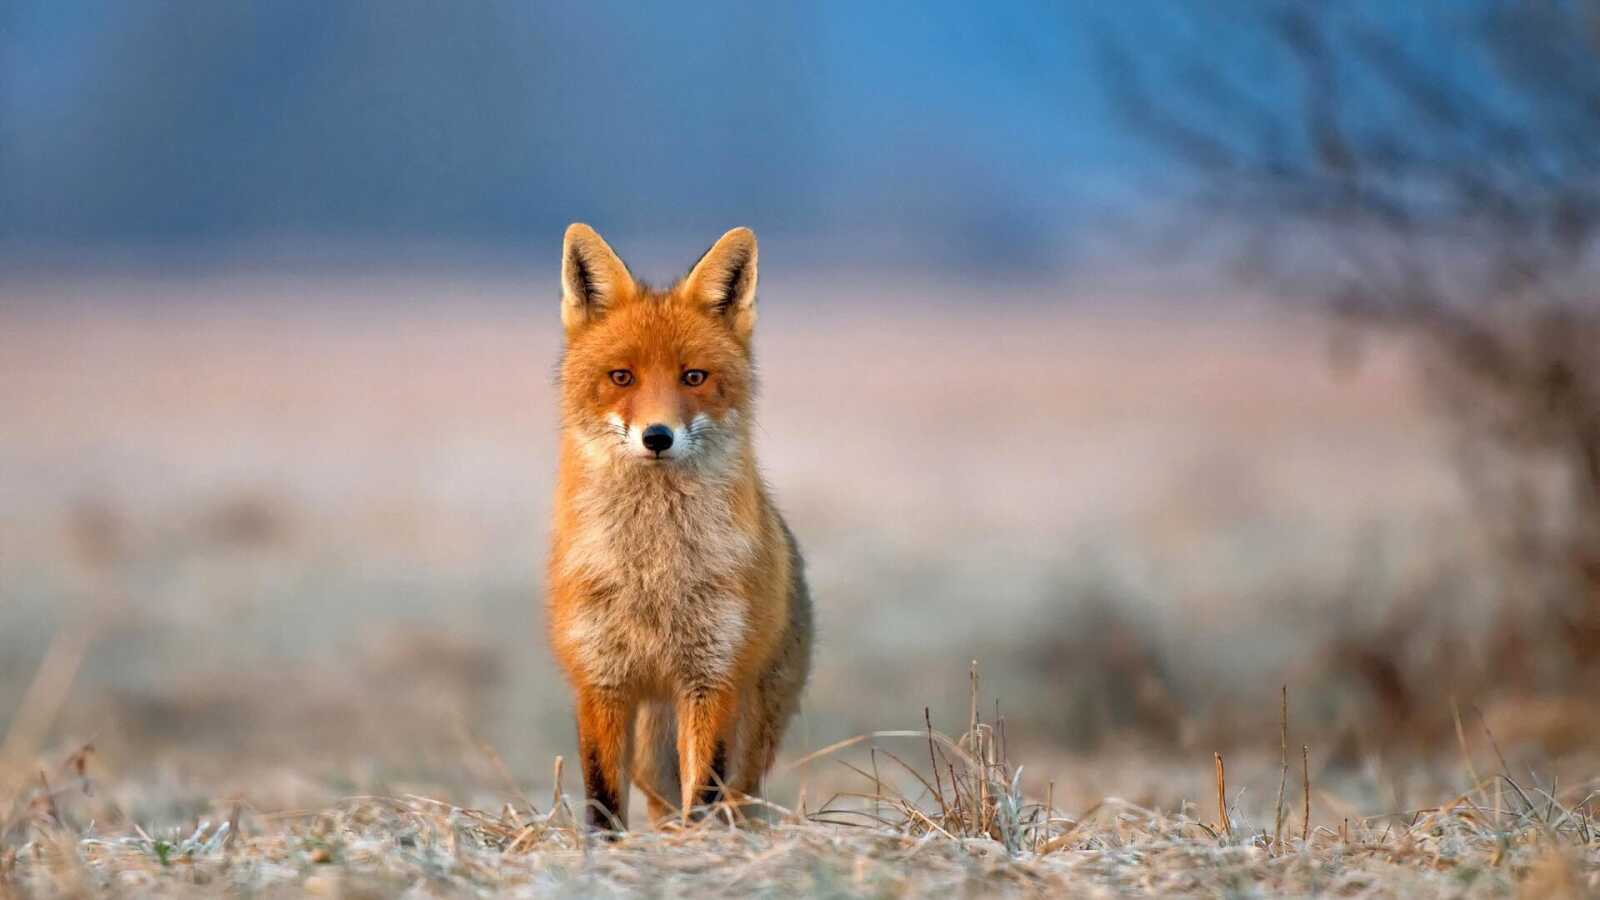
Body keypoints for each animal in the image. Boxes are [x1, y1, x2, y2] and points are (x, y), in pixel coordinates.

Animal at [545, 223, 813, 832]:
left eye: (693, 377)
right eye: (621, 377)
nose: (657, 436)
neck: (653, 573)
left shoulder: (711, 677)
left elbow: (705, 792)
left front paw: (698, 850)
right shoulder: (600, 679)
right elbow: (601, 797)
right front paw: (605, 849)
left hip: (751, 730)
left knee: (736, 799)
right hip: (650, 752)